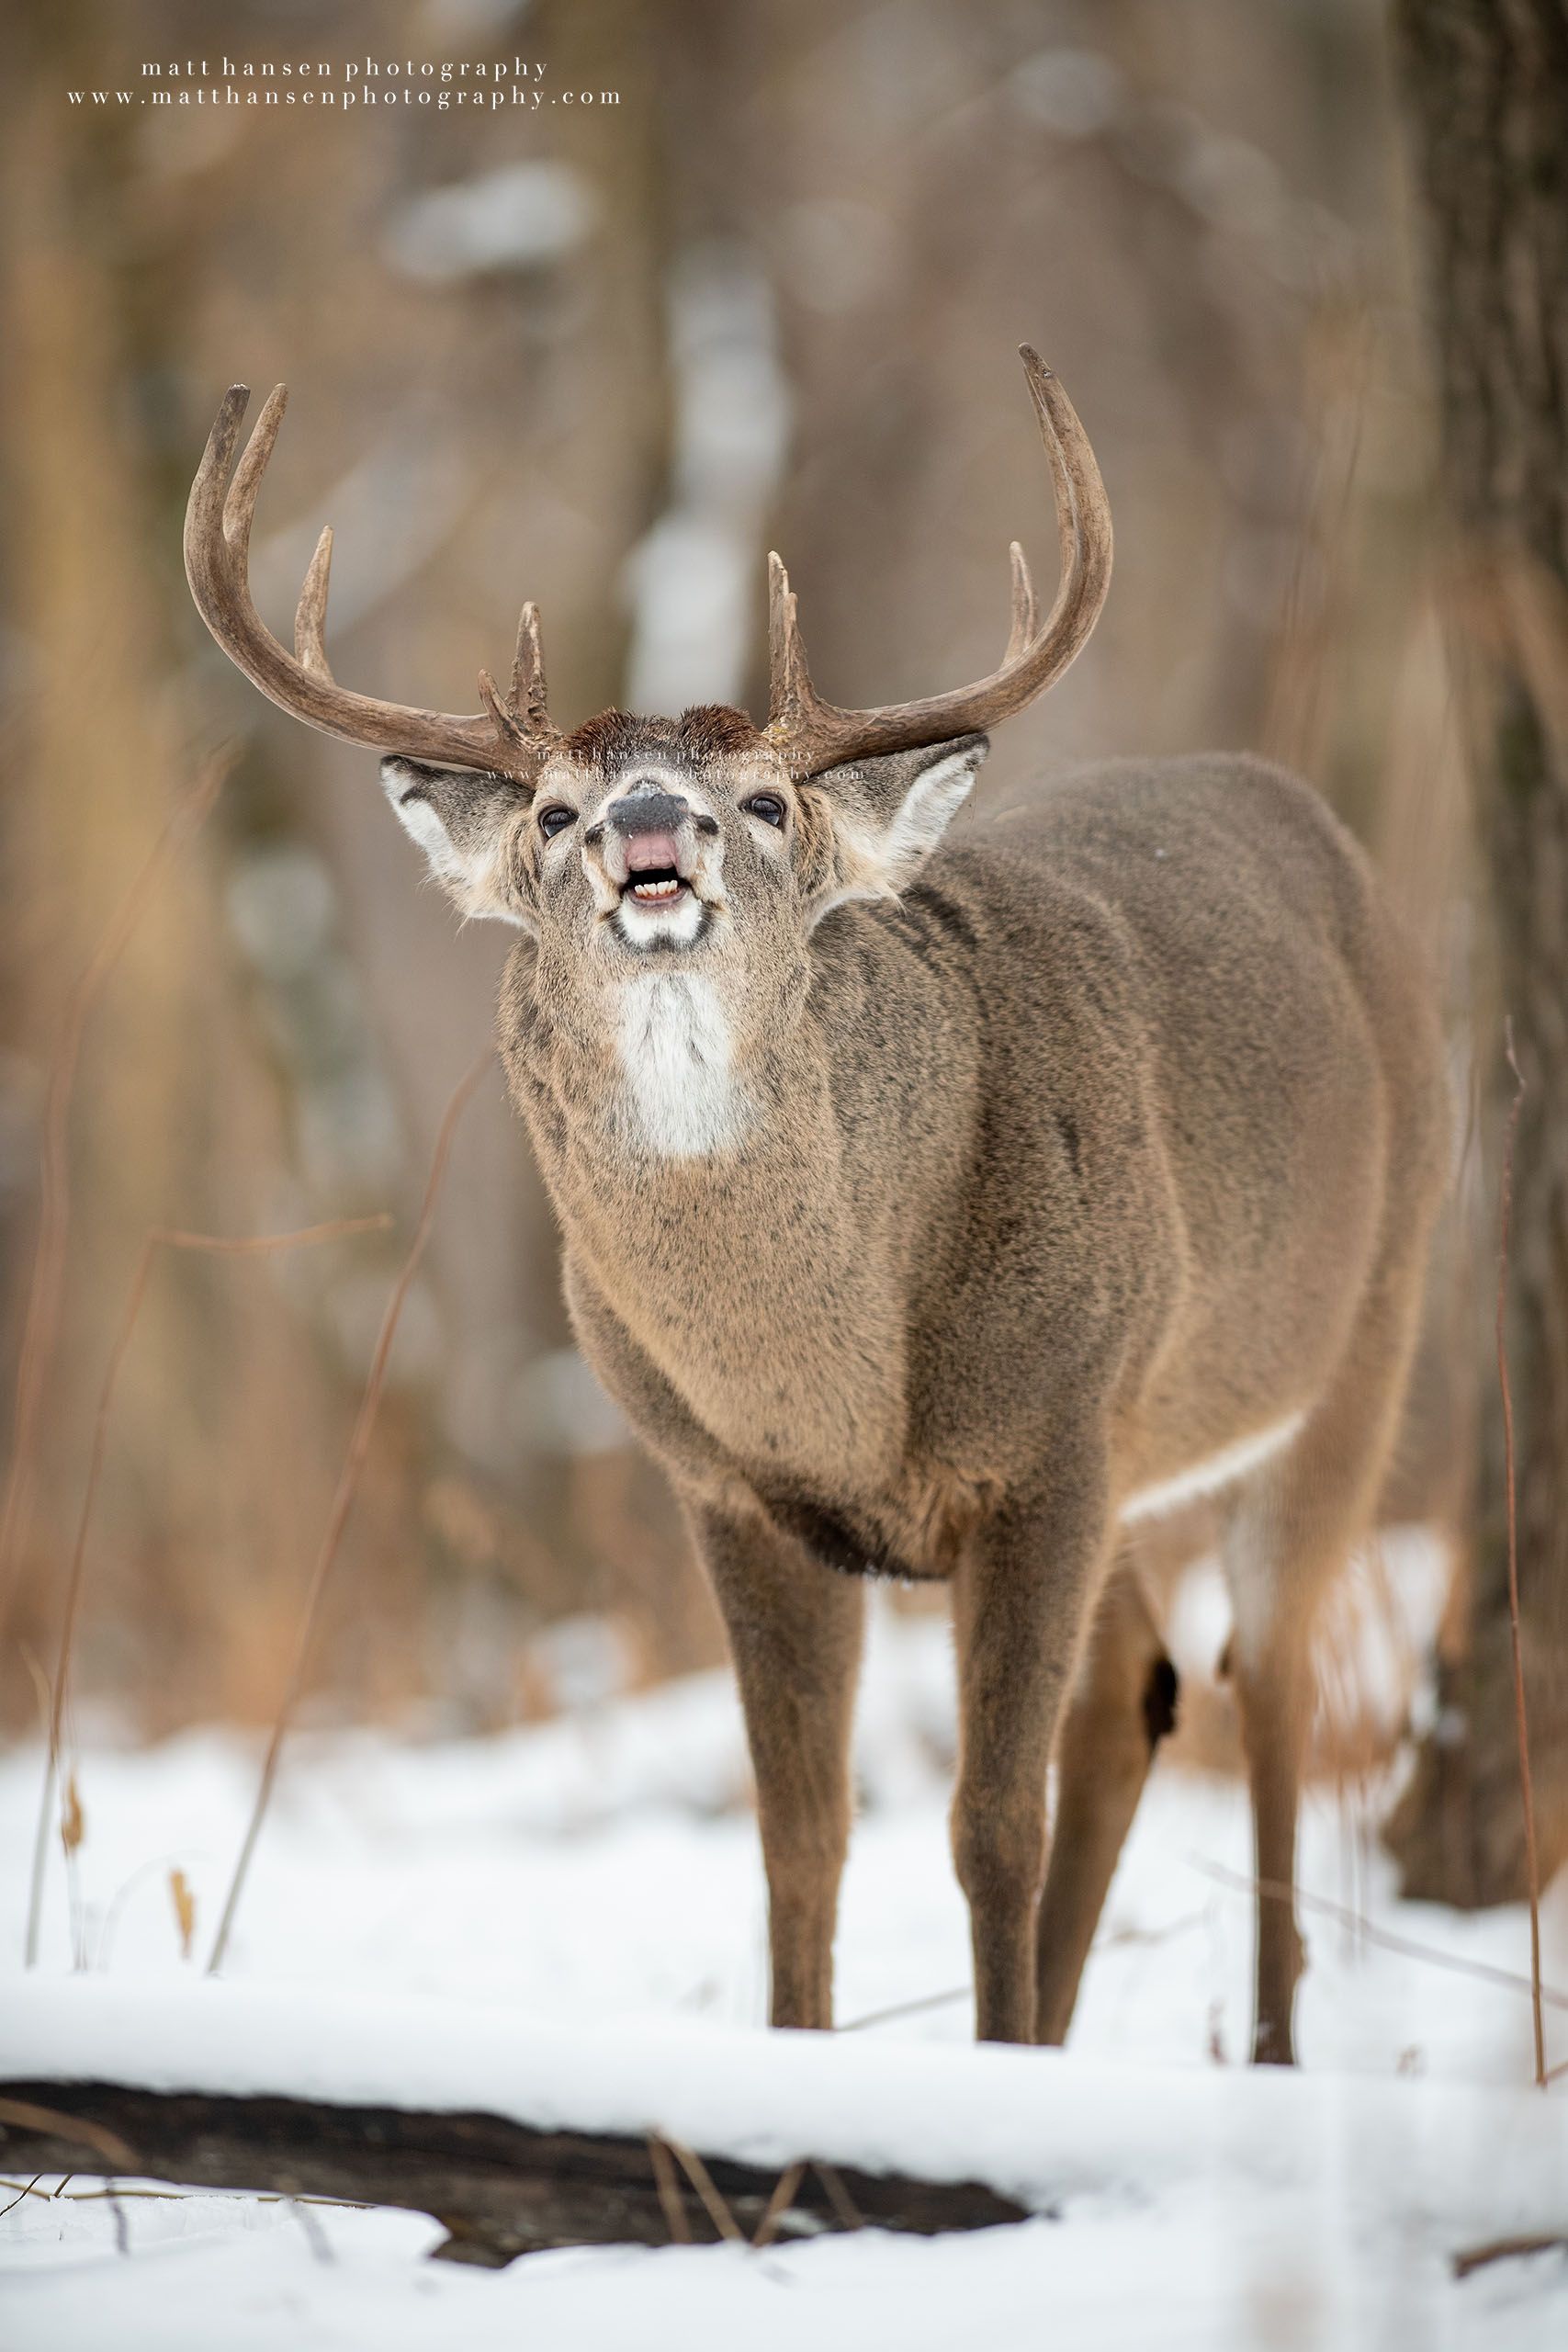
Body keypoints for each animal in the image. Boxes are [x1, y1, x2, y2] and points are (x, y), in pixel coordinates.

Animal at [185, 348, 1447, 2064]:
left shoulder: (1049, 1445)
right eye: (553, 812)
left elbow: (987, 1825)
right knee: (1138, 1691)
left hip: (1361, 1333)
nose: (652, 828)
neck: (845, 1394)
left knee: (1274, 1689)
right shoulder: (732, 1493)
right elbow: (798, 1837)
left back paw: (1262, 2053)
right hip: (1147, 1443)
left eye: (771, 798)